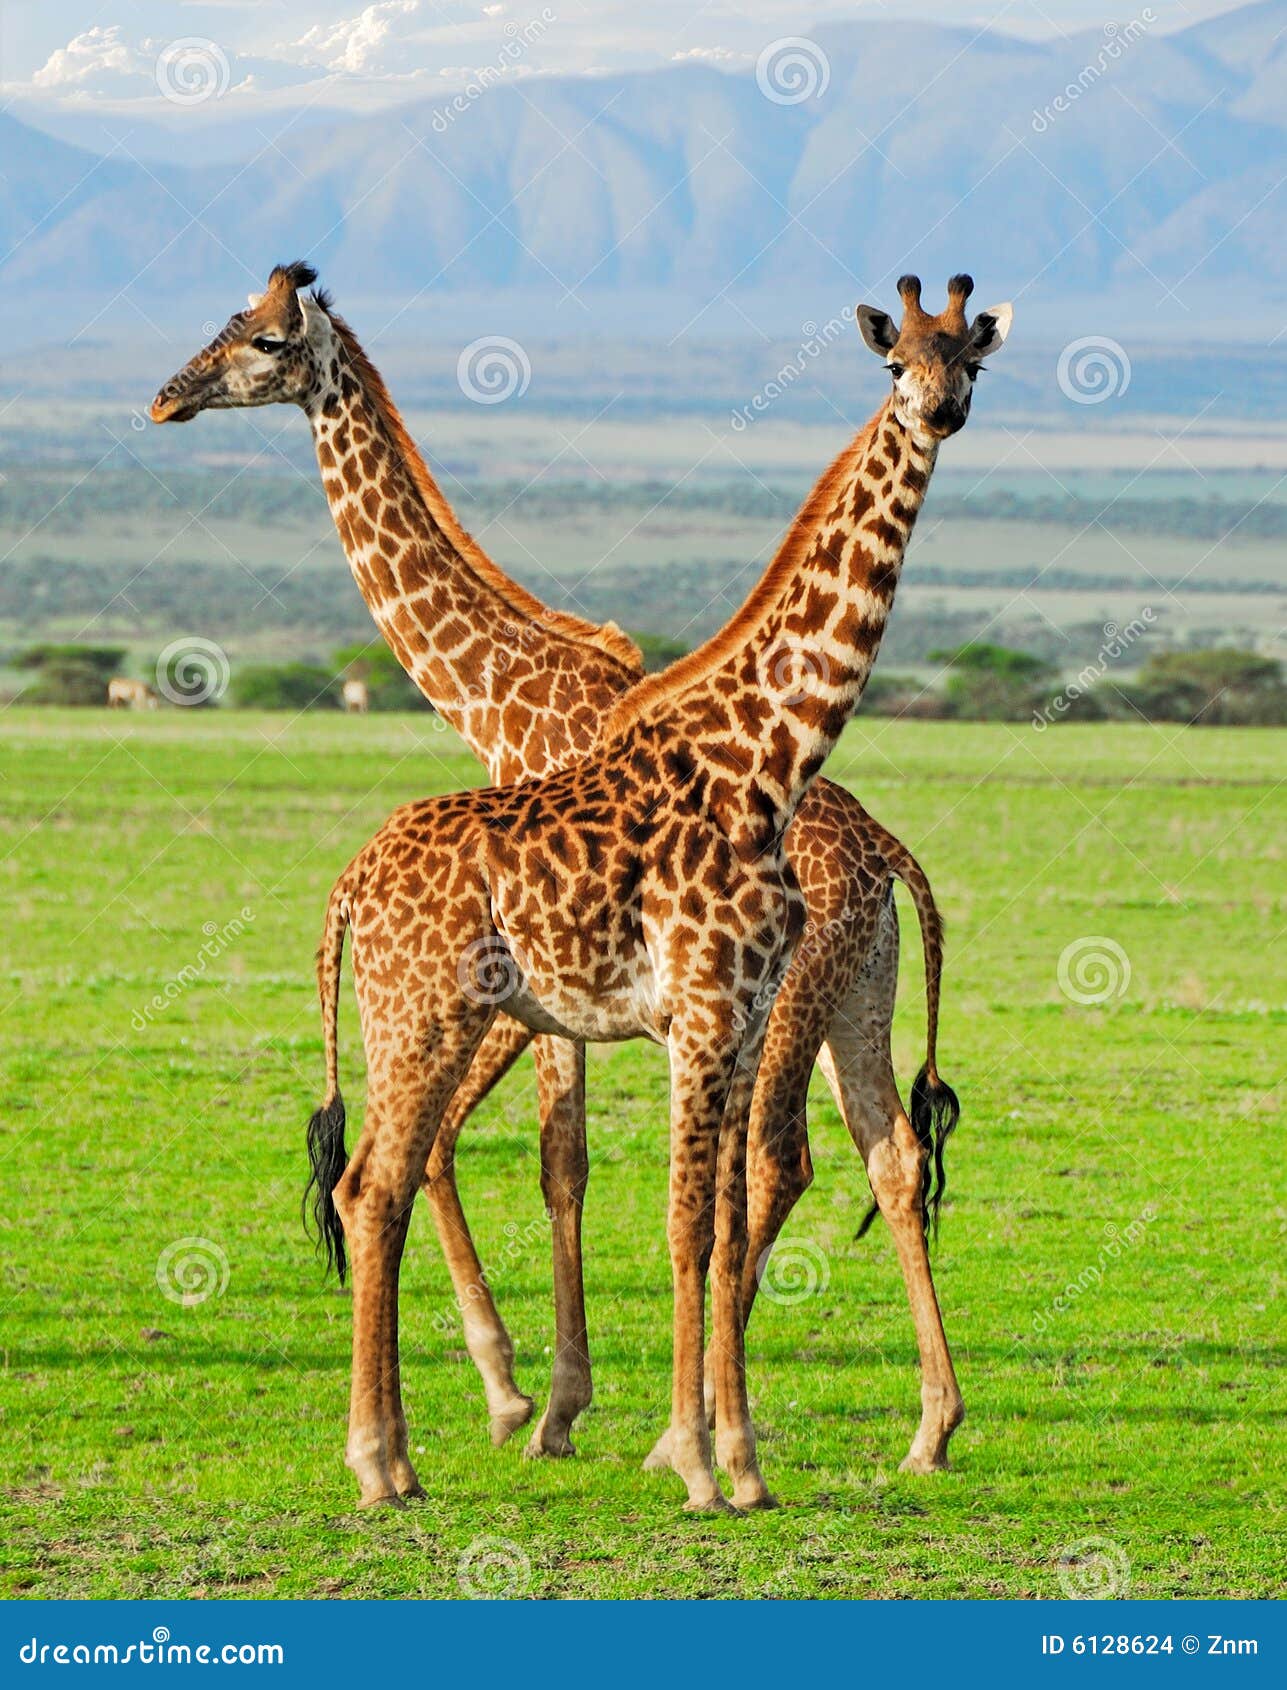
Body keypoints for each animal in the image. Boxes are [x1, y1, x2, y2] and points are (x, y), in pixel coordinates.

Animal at [150, 266, 1013, 1499]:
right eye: (898, 361)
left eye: (264, 340)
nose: (168, 396)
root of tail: (892, 853)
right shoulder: (611, 1010)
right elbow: (576, 1173)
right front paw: (574, 1412)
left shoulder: (651, 1012)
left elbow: (631, 1193)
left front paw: (585, 1414)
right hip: (808, 1003)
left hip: (812, 1000)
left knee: (802, 1163)